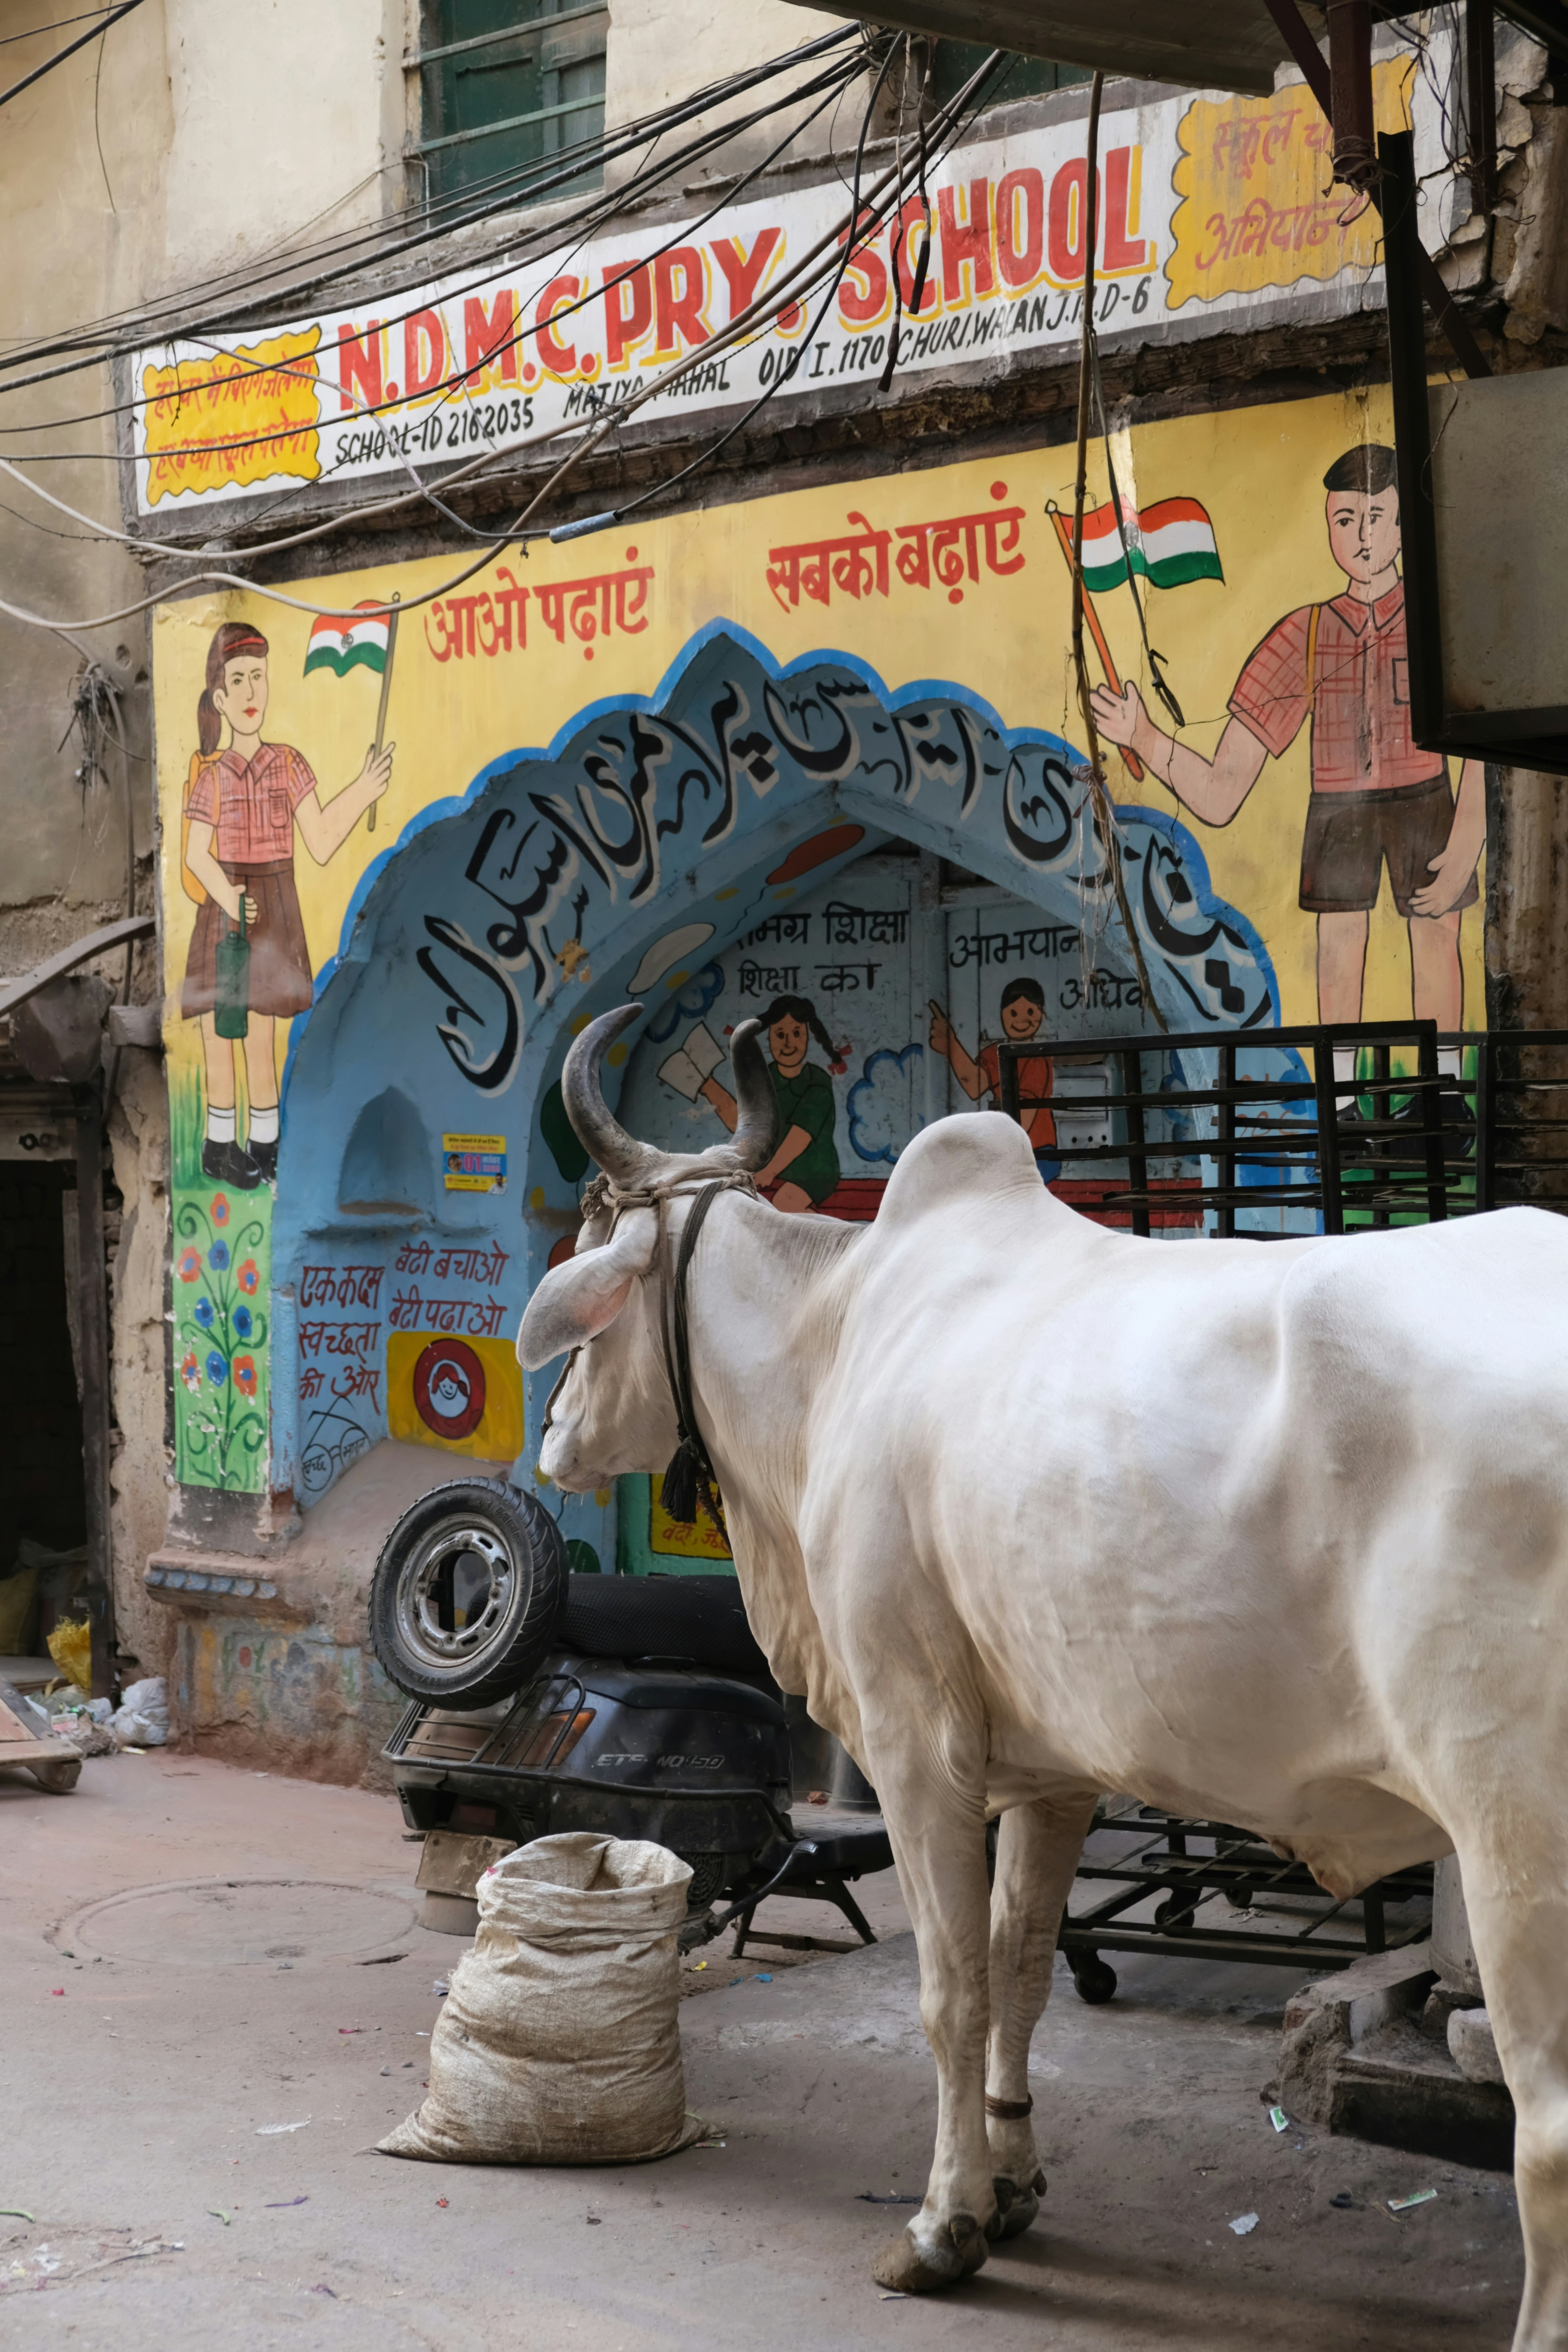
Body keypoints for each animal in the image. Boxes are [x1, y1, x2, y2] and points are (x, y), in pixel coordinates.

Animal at [520, 1002, 1568, 2346]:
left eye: (597, 1228)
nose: (554, 1436)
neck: (835, 1335)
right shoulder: (1054, 1772)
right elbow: (1022, 1972)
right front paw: (1012, 2183)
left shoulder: (916, 1742)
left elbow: (951, 1991)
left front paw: (943, 2223)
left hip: (1513, 1836)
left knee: (1544, 2125)